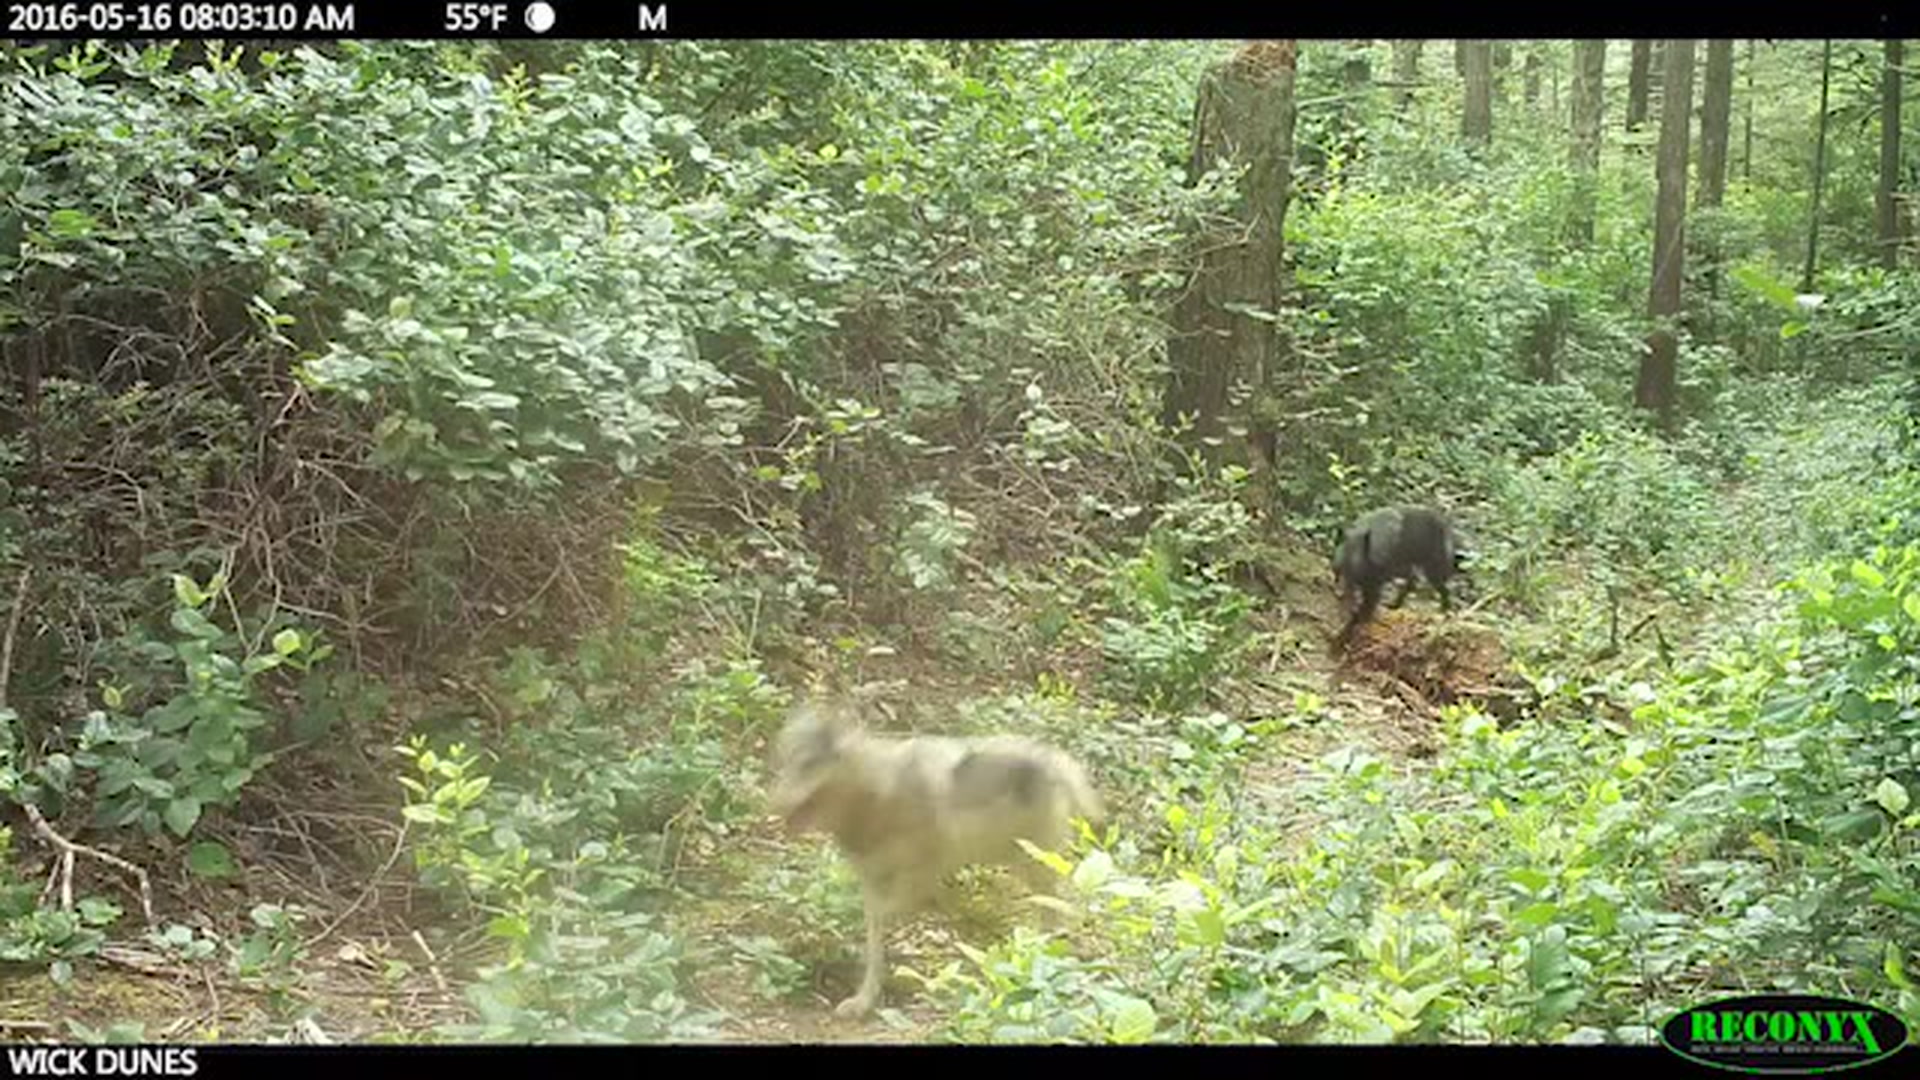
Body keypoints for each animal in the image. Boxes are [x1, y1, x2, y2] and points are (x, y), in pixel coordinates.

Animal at [766, 697, 1106, 1019]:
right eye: (786, 762)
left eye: (808, 764)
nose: (774, 802)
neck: (877, 798)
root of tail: (1054, 756)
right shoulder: (872, 881)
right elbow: (874, 941)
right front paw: (864, 999)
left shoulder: (921, 871)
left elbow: (893, 911)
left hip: (1036, 863)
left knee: (1064, 908)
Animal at [1332, 504, 1470, 650]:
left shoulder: (1374, 584)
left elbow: (1363, 608)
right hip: (1410, 568)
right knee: (1416, 582)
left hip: (1429, 570)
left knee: (1441, 590)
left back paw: (1444, 611)